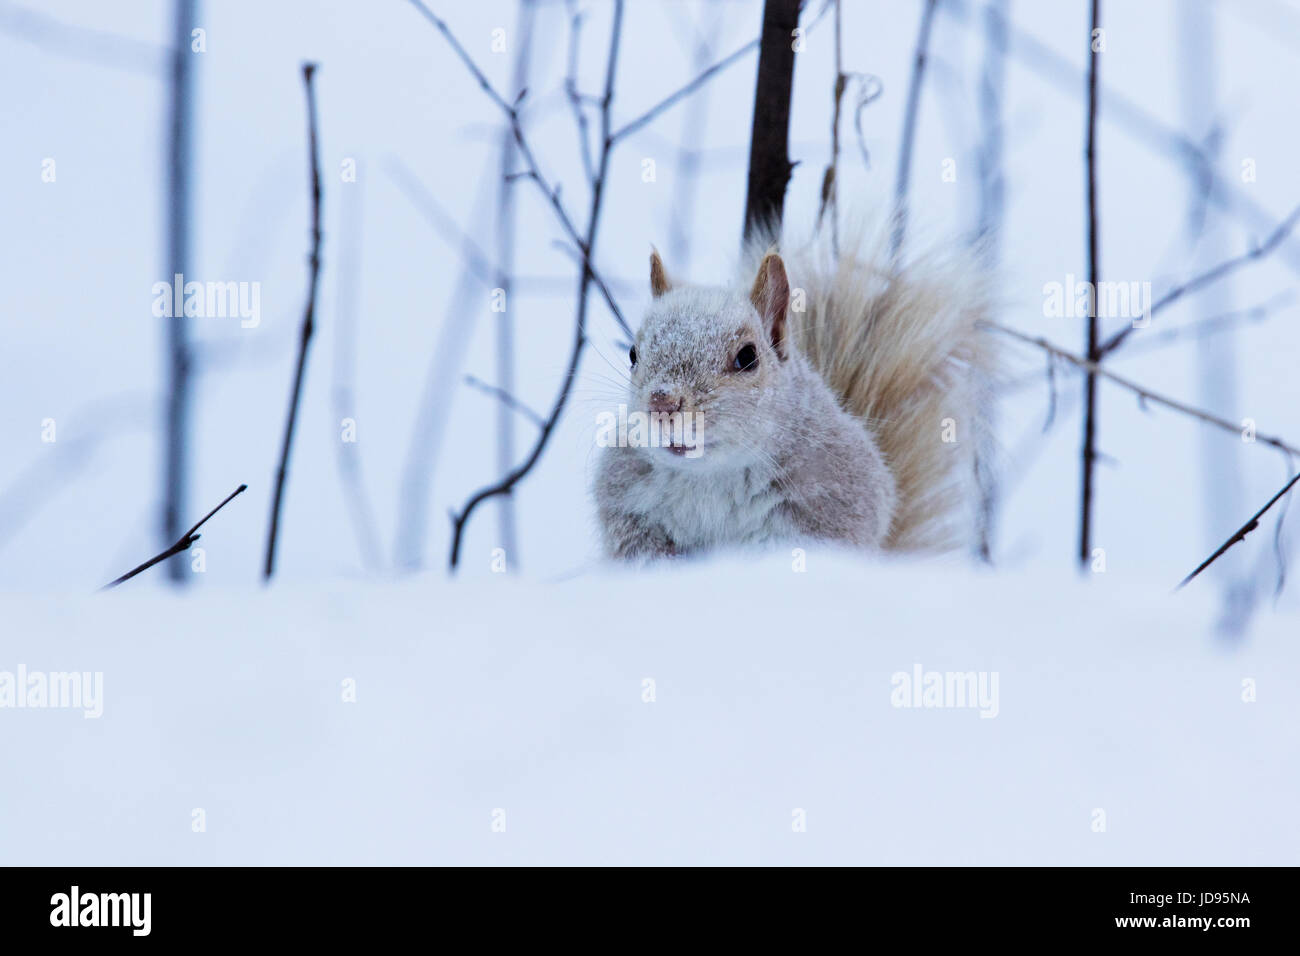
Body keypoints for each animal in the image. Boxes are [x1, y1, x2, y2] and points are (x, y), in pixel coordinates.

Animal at [593, 221, 995, 561]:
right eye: (633, 354)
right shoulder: (631, 509)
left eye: (747, 357)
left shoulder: (828, 507)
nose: (662, 402)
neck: (711, 475)